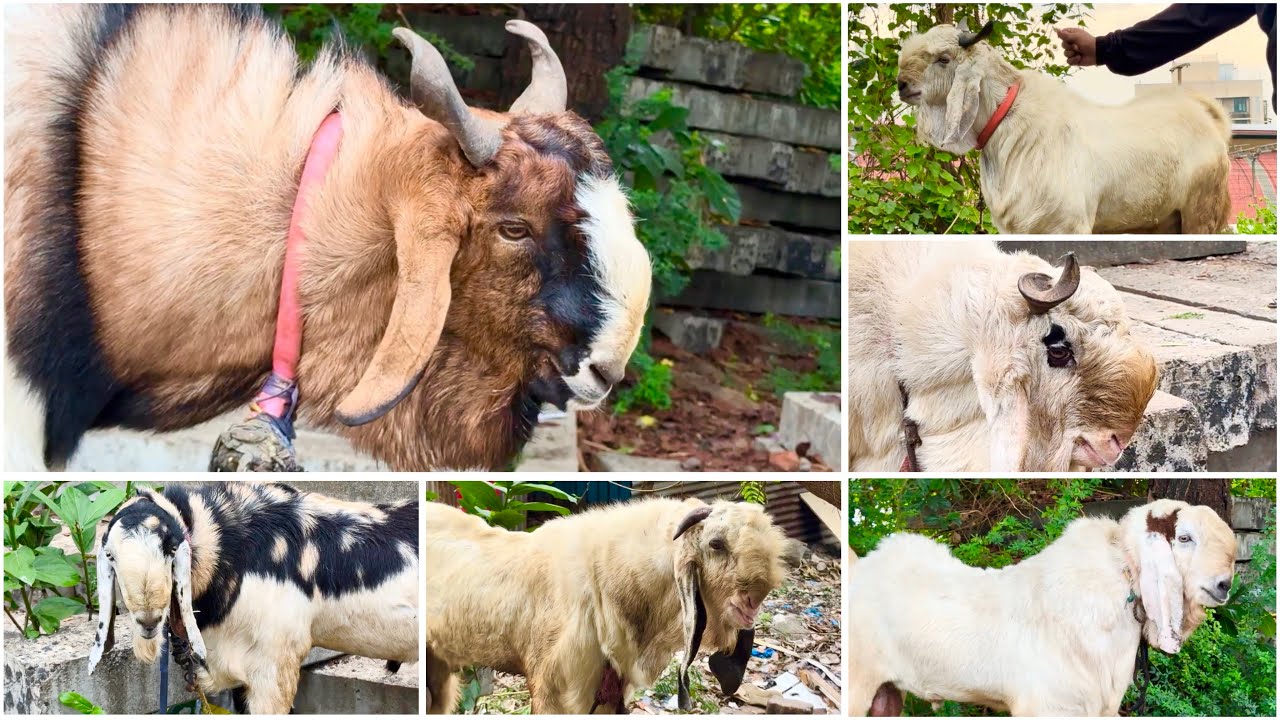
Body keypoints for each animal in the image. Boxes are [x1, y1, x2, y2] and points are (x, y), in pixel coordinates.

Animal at [896, 21, 1231, 233]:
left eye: (943, 58)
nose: (902, 85)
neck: (1010, 123)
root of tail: (1207, 113)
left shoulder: (1067, 223)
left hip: (1202, 209)